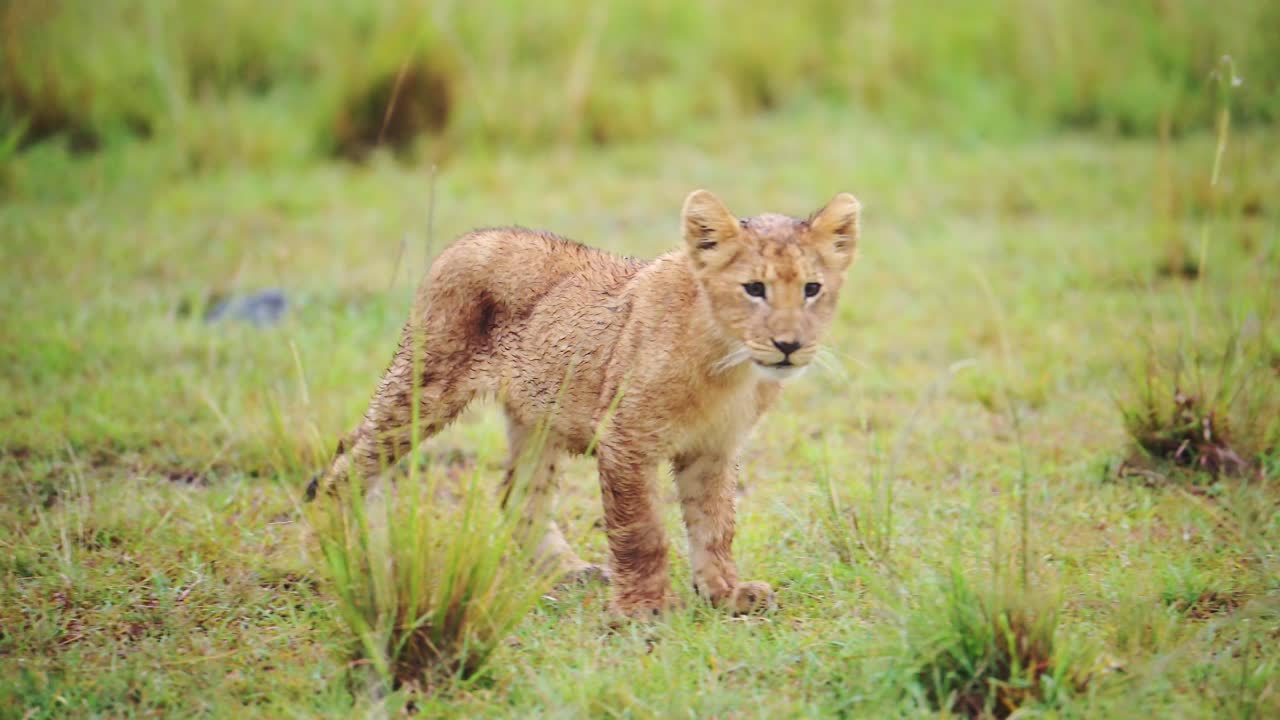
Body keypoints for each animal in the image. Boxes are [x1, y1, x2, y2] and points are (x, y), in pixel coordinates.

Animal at [310, 189, 862, 616]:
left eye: (812, 288)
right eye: (754, 288)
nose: (789, 345)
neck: (730, 365)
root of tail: (469, 238)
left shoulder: (713, 451)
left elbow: (715, 527)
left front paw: (726, 593)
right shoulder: (626, 440)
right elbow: (642, 532)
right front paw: (645, 609)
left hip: (537, 415)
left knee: (518, 494)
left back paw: (569, 571)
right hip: (426, 384)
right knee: (349, 457)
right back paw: (339, 547)